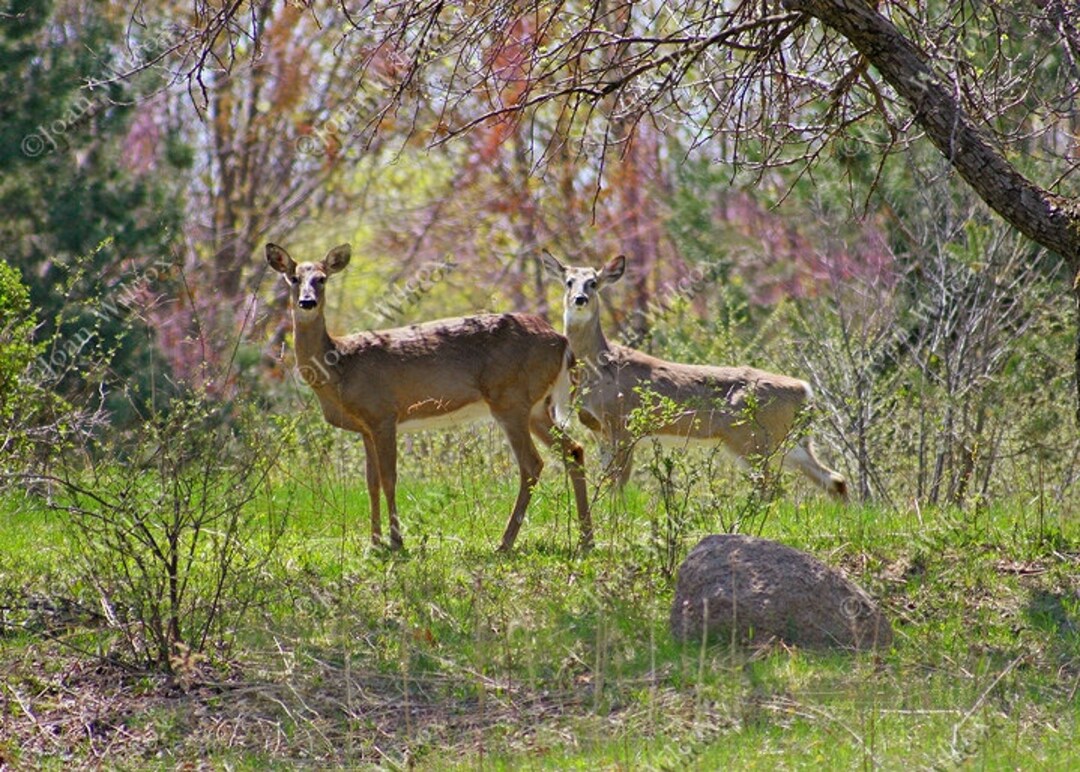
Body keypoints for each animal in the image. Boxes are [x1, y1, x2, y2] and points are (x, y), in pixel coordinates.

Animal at [267, 243, 592, 553]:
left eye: (322, 278)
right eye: (293, 278)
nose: (306, 302)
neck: (340, 367)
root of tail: (562, 341)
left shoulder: (384, 414)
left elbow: (389, 478)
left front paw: (396, 542)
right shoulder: (365, 427)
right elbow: (371, 482)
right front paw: (373, 544)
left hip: (510, 400)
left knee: (532, 464)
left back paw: (505, 543)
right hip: (536, 407)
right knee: (574, 450)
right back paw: (585, 539)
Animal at [541, 252, 848, 501]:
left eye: (593, 282)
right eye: (568, 281)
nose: (580, 299)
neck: (599, 369)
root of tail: (804, 389)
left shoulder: (623, 423)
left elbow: (618, 483)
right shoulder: (600, 431)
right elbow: (606, 481)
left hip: (752, 438)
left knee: (770, 487)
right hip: (790, 440)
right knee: (835, 479)